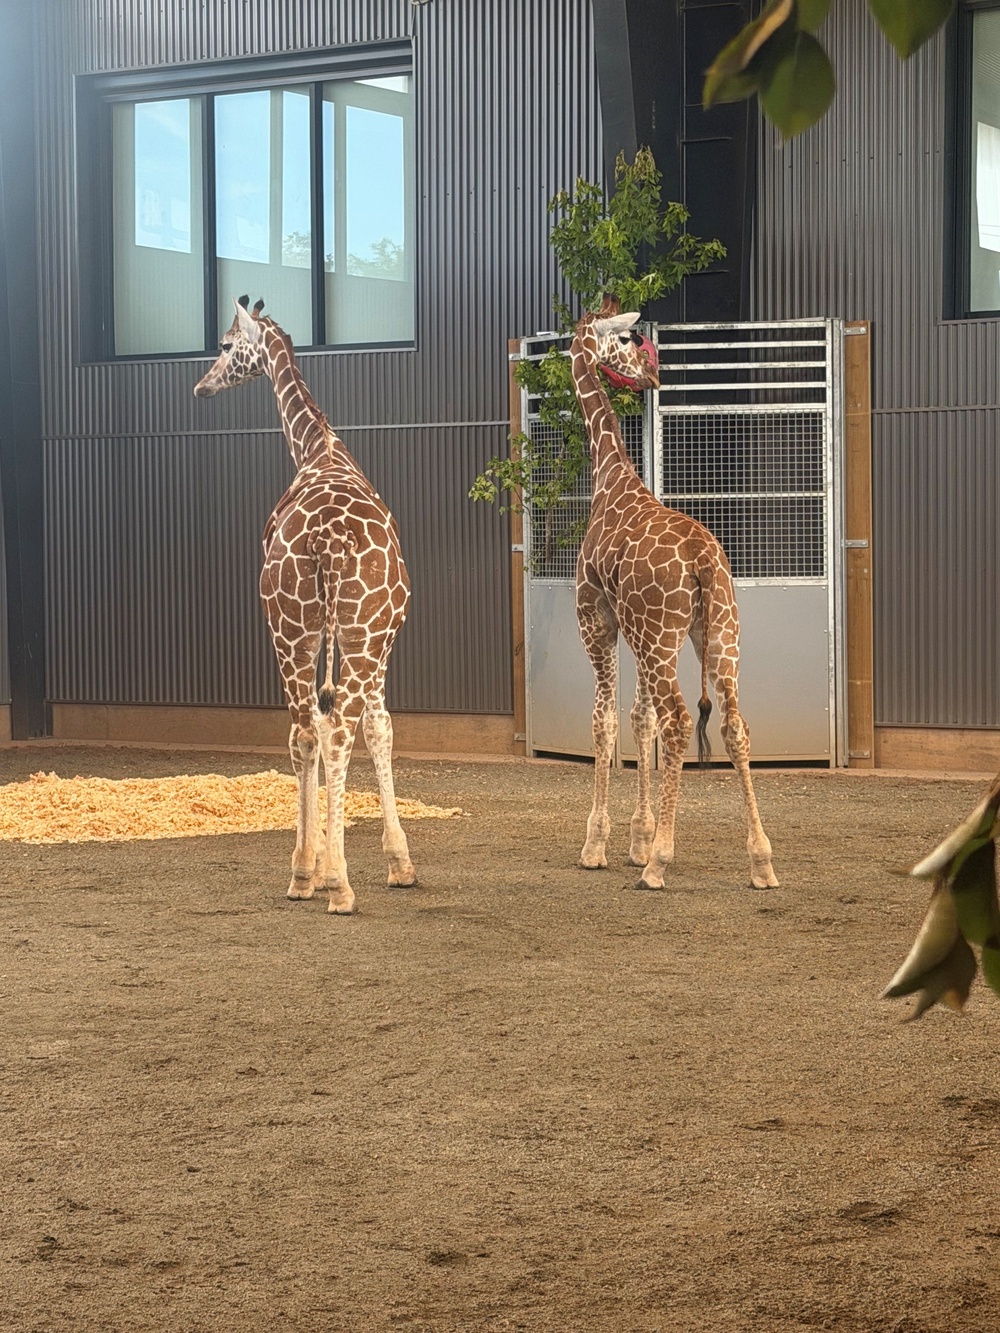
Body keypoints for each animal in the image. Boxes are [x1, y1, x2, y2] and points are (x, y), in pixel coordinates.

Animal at [193, 297, 415, 913]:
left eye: (225, 345)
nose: (202, 386)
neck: (318, 447)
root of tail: (327, 541)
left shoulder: (349, 638)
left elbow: (364, 727)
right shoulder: (377, 639)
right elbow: (379, 728)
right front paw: (396, 862)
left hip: (294, 629)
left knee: (308, 731)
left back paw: (304, 874)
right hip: (346, 631)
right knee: (330, 730)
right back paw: (334, 881)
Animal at [571, 295, 778, 891]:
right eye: (626, 339)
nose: (652, 375)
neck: (611, 478)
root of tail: (703, 560)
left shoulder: (597, 620)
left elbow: (605, 721)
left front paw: (601, 845)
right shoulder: (635, 631)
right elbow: (639, 720)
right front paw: (636, 839)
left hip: (664, 636)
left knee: (683, 720)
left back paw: (660, 863)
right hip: (717, 632)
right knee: (734, 724)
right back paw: (761, 861)